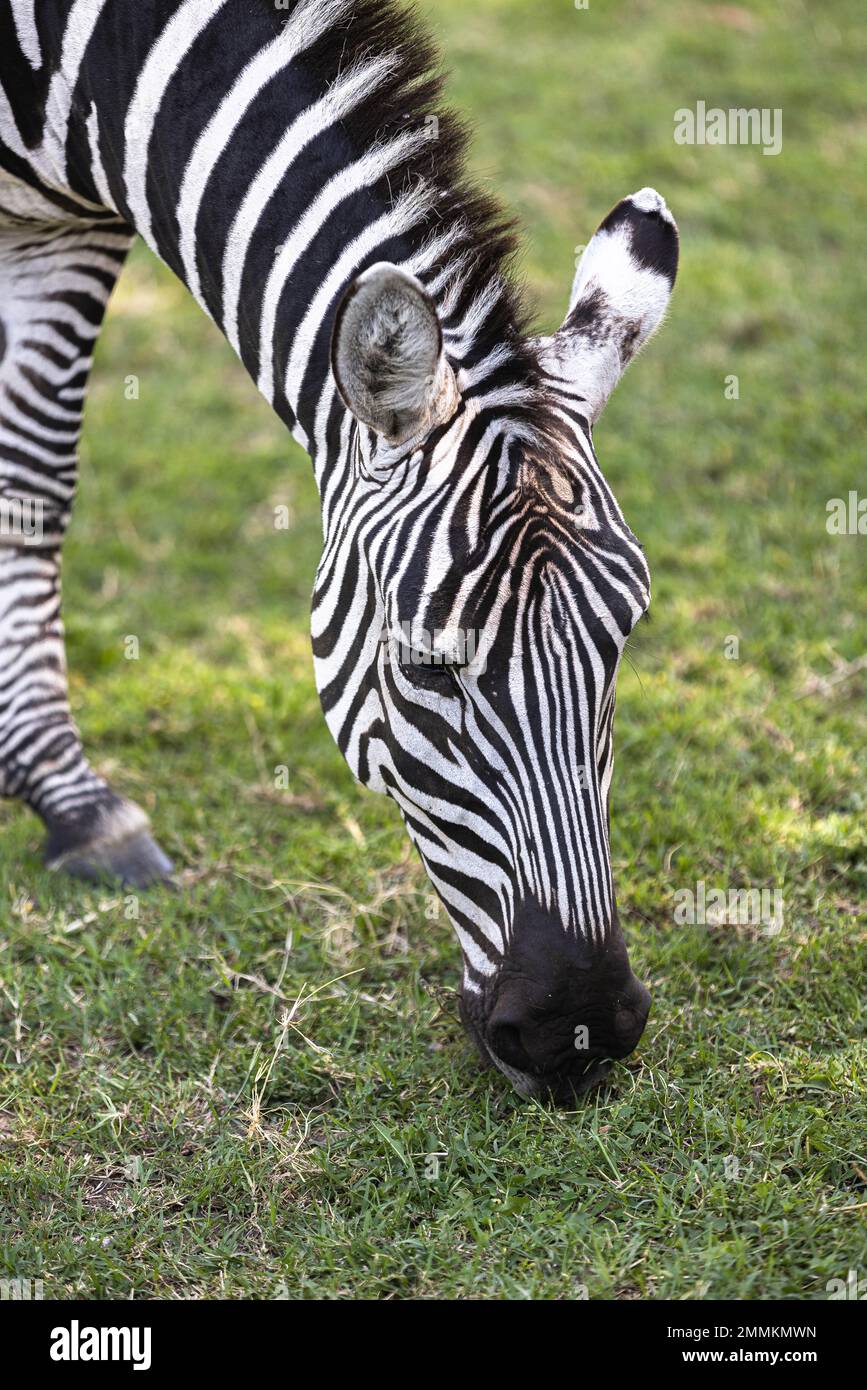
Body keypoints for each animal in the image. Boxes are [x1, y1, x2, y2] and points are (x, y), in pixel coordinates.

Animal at [0, 0, 678, 1101]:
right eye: (426, 667)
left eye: (621, 643)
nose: (580, 1032)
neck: (79, 50)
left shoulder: (71, 221)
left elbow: (32, 483)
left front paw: (66, 796)